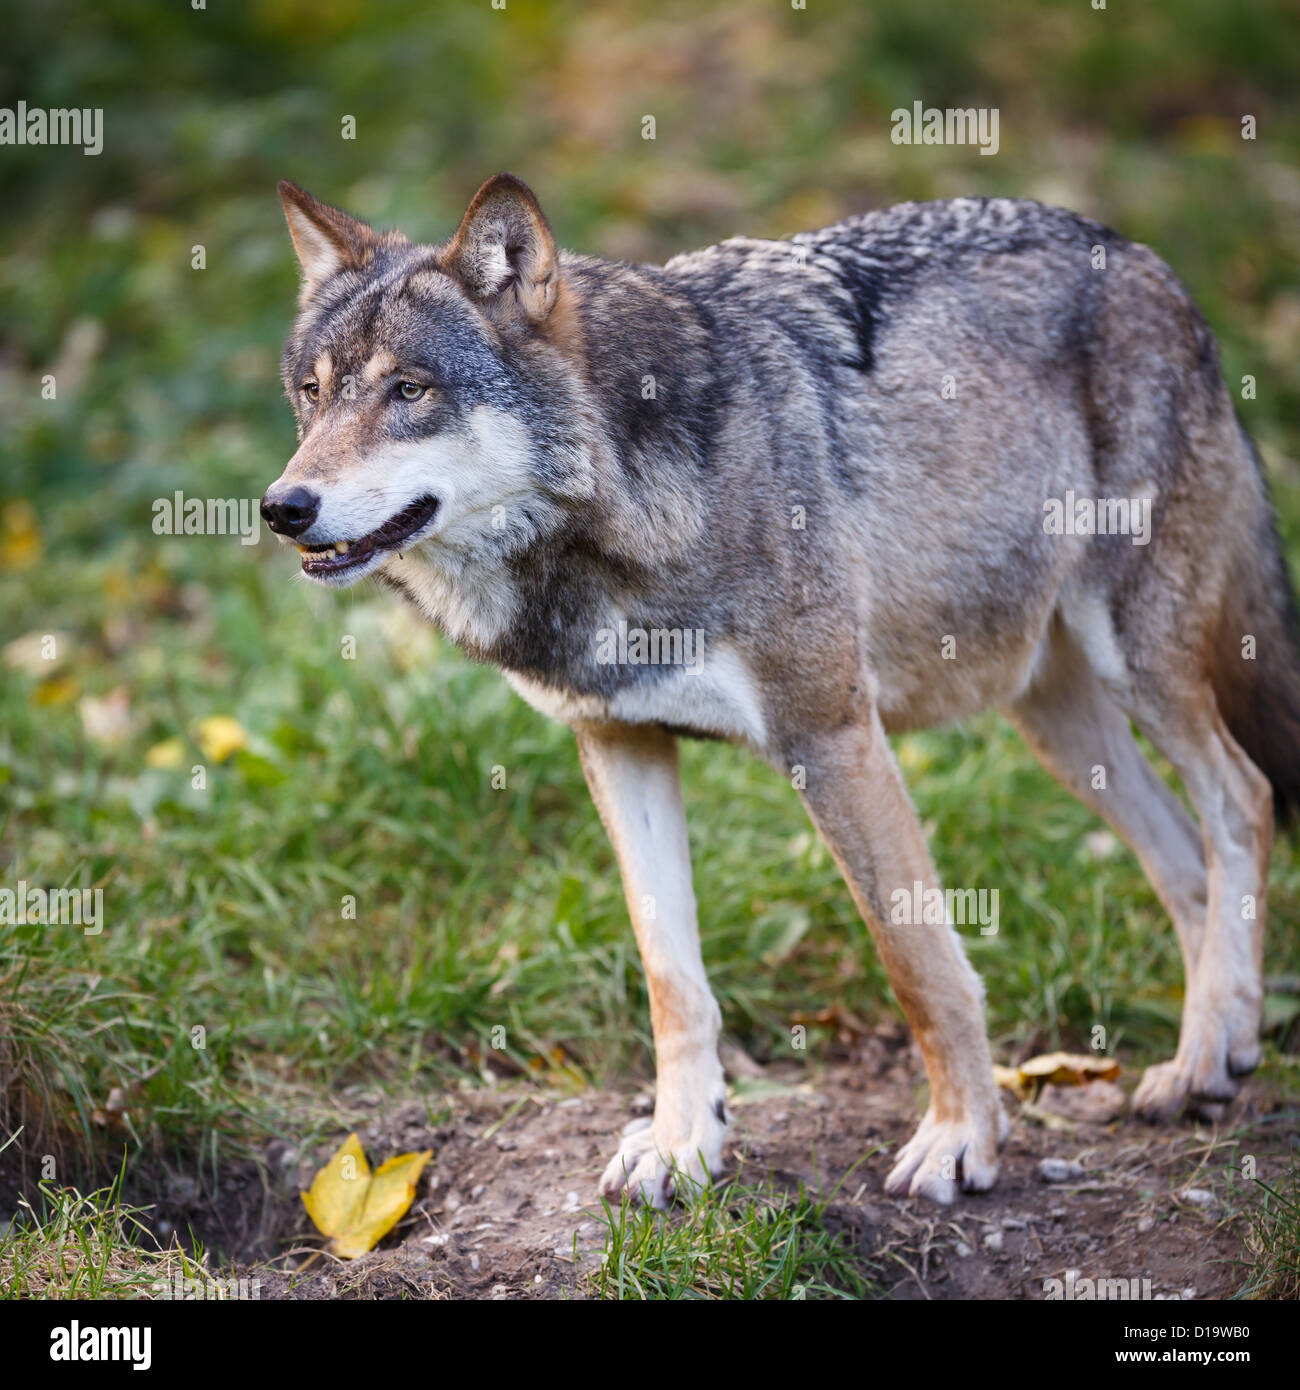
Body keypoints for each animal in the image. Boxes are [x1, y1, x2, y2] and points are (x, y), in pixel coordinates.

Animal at [262, 175, 1300, 1207]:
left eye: (409, 390)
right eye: (312, 395)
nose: (282, 508)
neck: (627, 506)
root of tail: (1146, 258)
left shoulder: (831, 734)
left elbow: (919, 964)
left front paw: (961, 1139)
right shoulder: (620, 745)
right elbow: (671, 979)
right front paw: (681, 1144)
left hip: (1136, 664)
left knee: (1244, 799)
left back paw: (1201, 1058)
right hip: (1055, 721)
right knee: (1186, 861)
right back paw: (1216, 1052)